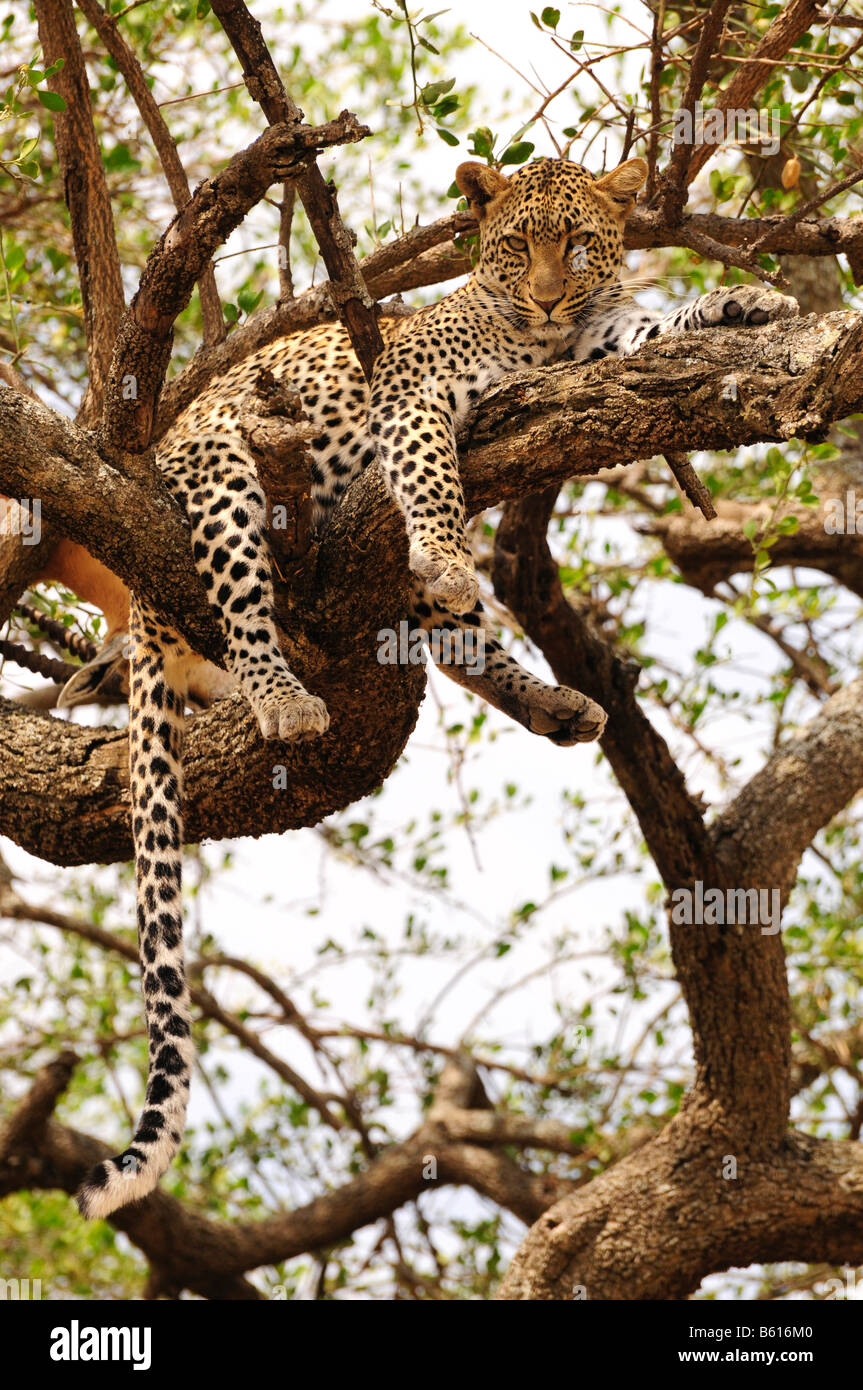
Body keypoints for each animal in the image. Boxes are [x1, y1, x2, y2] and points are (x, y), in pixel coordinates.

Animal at [73, 154, 798, 1219]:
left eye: (578, 243)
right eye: (515, 245)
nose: (548, 294)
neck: (540, 336)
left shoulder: (591, 351)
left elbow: (657, 325)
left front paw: (748, 300)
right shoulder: (412, 393)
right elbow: (427, 478)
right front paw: (450, 553)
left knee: (448, 646)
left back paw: (555, 703)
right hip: (220, 477)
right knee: (243, 600)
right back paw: (288, 694)